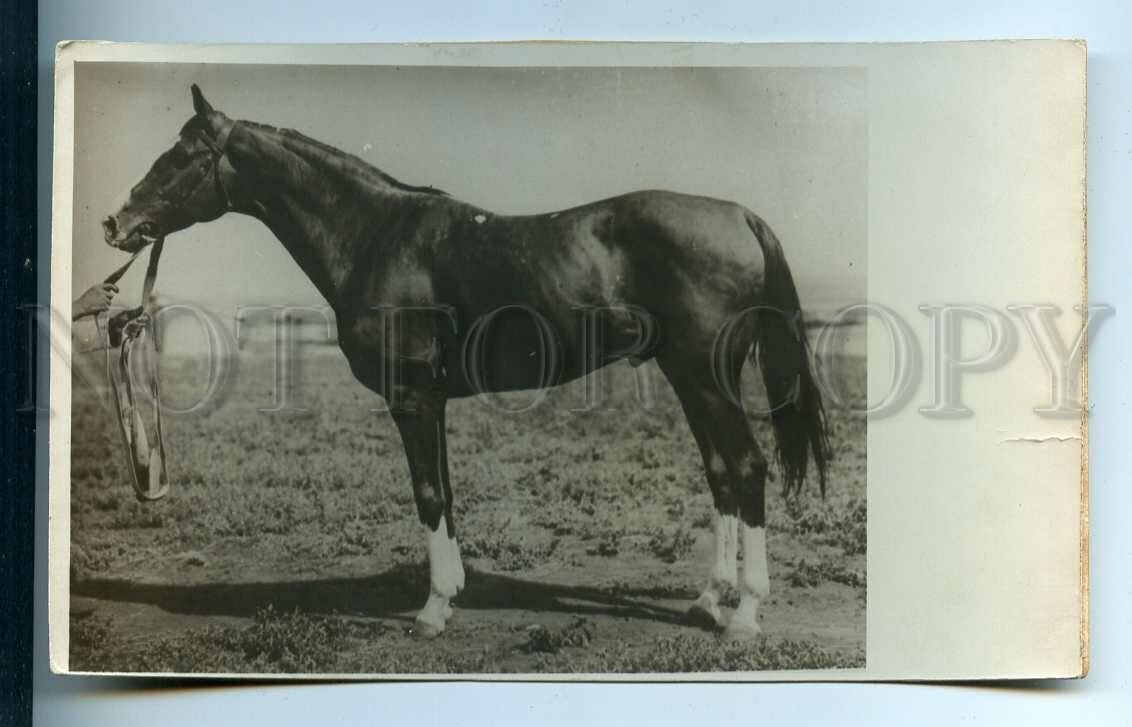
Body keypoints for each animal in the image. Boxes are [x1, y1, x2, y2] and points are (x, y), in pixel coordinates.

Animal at [101, 85, 830, 640]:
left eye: (183, 157)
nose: (116, 223)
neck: (373, 235)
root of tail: (740, 216)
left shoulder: (412, 399)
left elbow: (428, 493)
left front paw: (431, 611)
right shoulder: (434, 401)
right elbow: (445, 493)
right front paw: (447, 593)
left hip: (706, 376)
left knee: (748, 467)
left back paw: (745, 614)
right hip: (692, 377)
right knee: (721, 473)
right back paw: (708, 601)